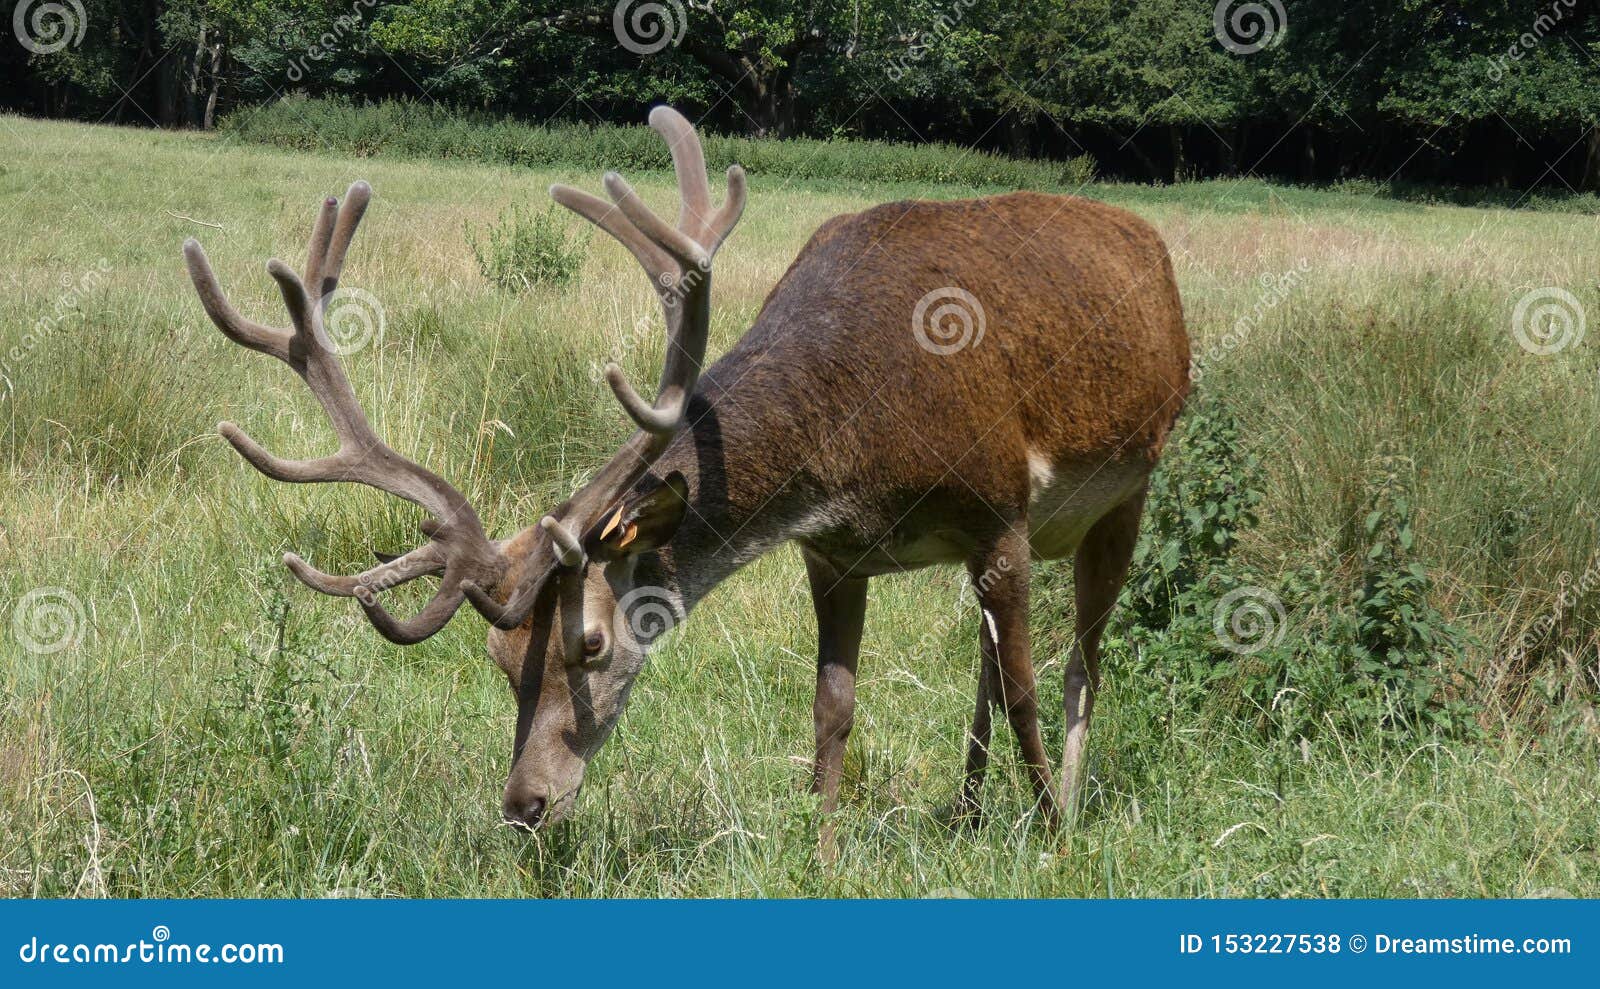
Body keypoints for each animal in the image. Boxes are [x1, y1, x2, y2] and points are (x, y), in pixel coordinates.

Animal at [182, 106, 1190, 832]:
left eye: (591, 642)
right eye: (499, 654)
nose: (524, 804)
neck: (862, 434)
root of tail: (1146, 239)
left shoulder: (998, 507)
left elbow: (1029, 690)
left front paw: (1052, 840)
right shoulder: (835, 552)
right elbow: (832, 712)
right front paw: (820, 851)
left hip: (1127, 489)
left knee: (1080, 660)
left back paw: (1061, 802)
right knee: (989, 657)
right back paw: (971, 807)